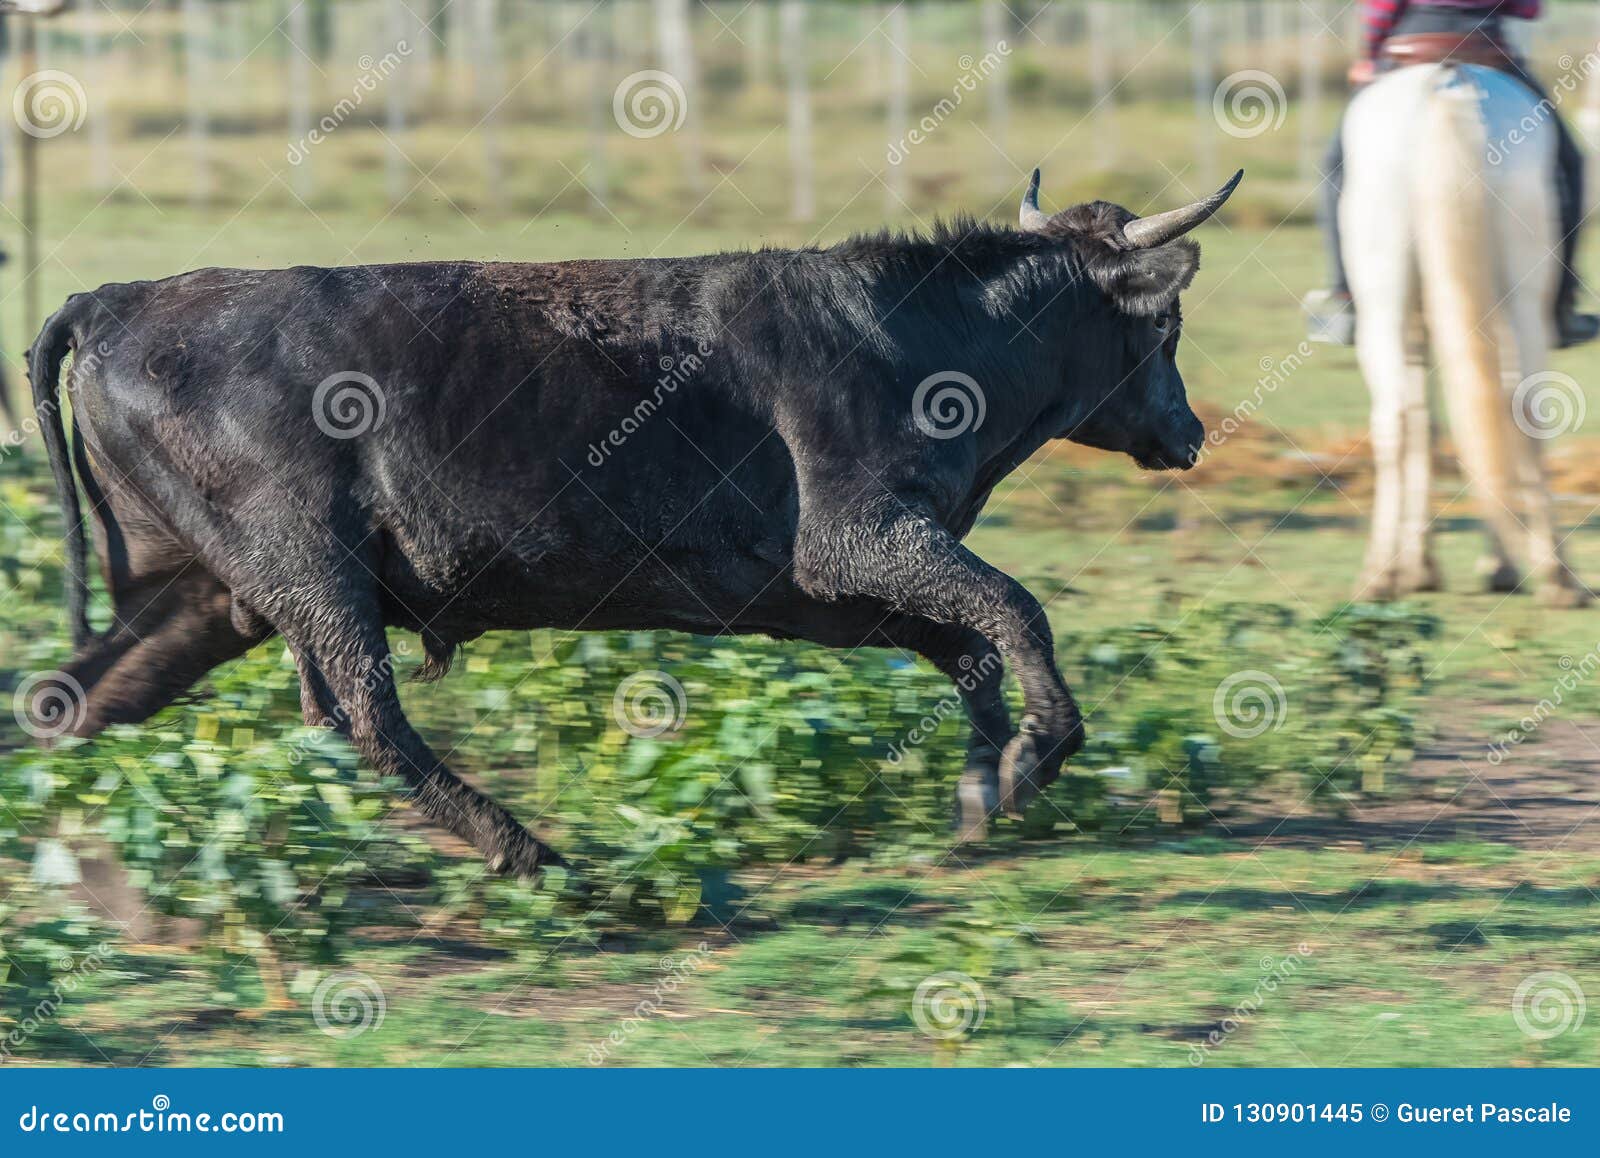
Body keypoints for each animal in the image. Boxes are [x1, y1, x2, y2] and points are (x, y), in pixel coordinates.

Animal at [25, 168, 1241, 876]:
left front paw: (983, 790)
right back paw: (534, 857)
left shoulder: (833, 588)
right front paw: (1039, 755)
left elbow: (969, 646)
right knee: (364, 716)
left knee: (74, 700)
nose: (1188, 433)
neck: (922, 335)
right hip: (309, 569)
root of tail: (116, 298)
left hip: (203, 594)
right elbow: (1015, 611)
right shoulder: (857, 540)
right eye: (1169, 323)